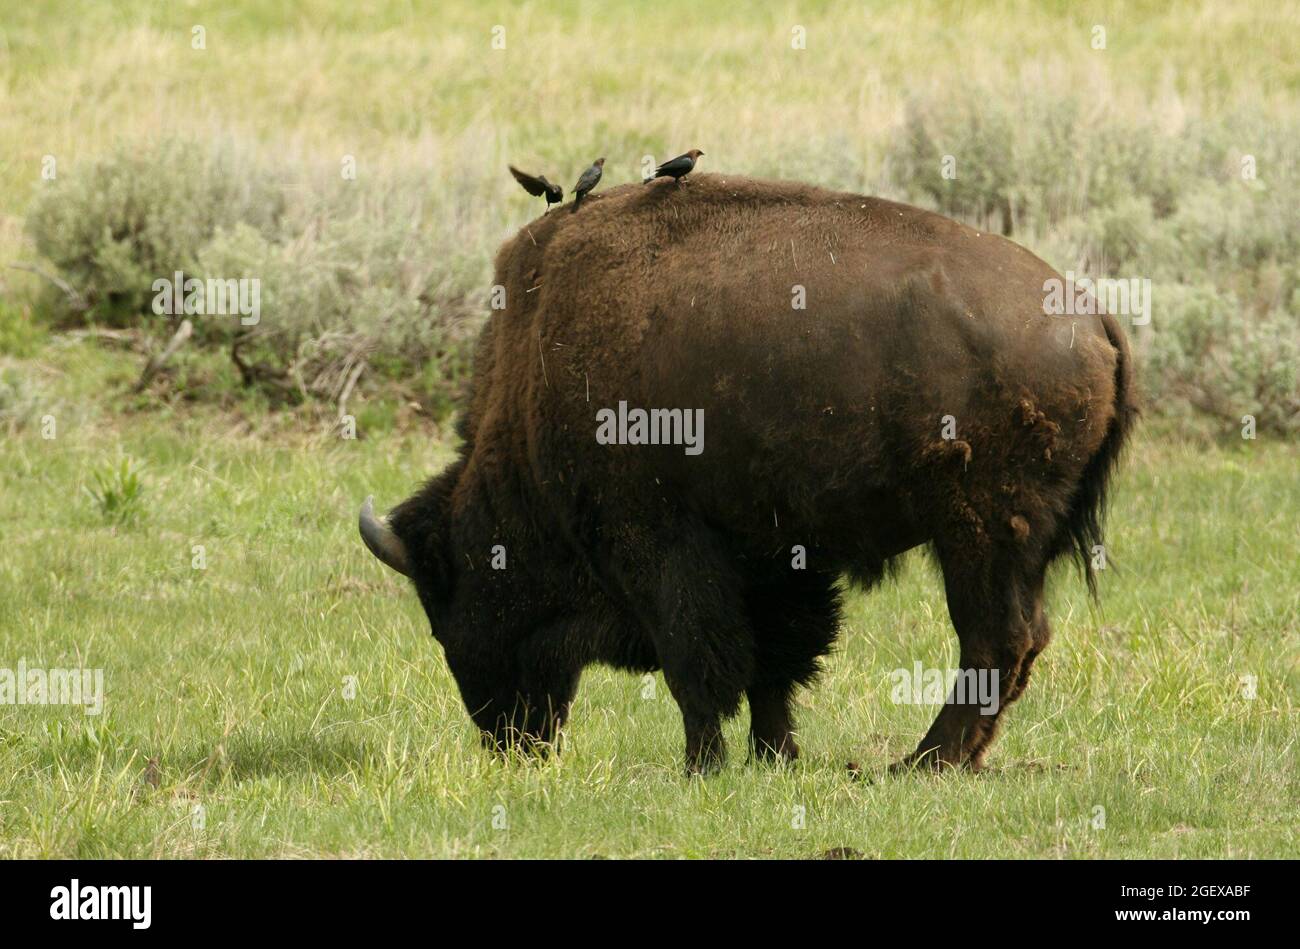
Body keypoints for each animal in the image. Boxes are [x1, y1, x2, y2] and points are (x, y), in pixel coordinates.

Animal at [359, 174, 1136, 775]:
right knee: (1017, 639)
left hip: (979, 535)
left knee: (994, 639)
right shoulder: (770, 558)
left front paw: (701, 765)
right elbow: (772, 663)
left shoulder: (662, 546)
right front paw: (774, 756)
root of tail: (1093, 318)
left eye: (457, 601)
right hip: (1007, 543)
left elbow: (698, 665)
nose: (510, 741)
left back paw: (925, 761)